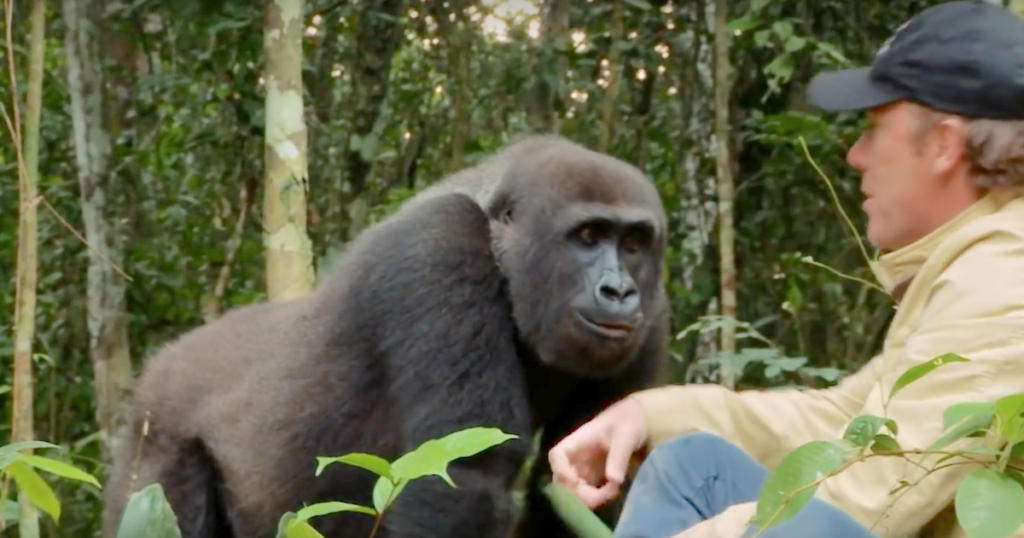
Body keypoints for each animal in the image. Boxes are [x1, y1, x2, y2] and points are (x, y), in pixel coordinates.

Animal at [102, 134, 671, 538]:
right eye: (588, 236)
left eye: (635, 243)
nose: (619, 291)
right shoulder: (439, 245)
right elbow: (464, 475)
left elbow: (587, 487)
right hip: (154, 448)